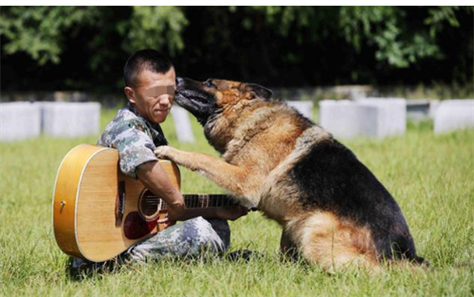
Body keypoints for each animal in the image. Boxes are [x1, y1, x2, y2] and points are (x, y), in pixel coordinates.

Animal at [156, 77, 426, 270]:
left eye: (210, 82)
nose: (177, 78)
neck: (249, 117)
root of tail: (405, 254)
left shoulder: (245, 180)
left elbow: (203, 158)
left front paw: (172, 151)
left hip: (314, 225)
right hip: (297, 223)